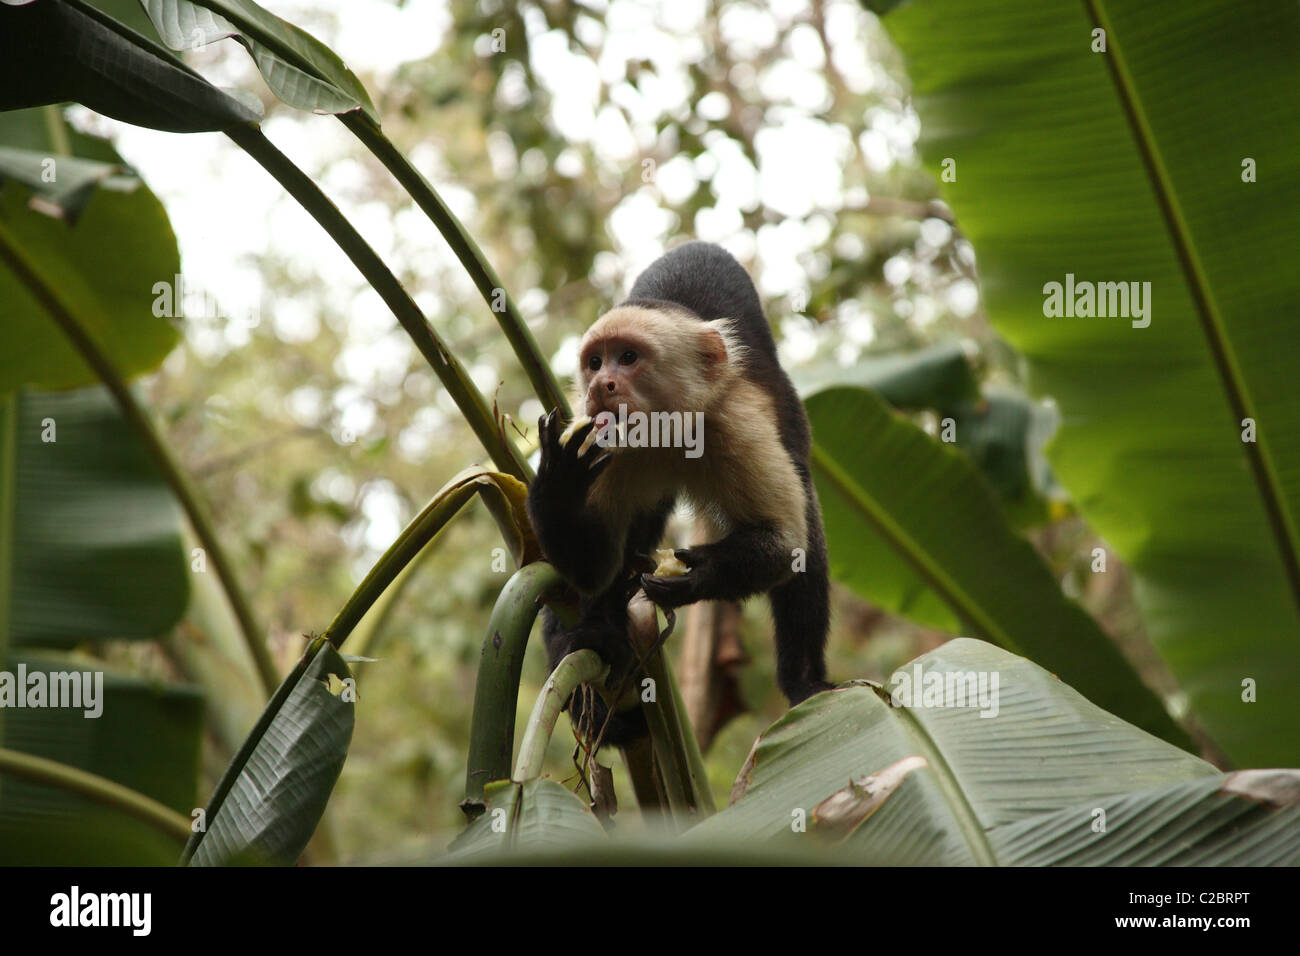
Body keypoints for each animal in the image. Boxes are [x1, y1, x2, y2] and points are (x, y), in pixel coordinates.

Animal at [527, 241, 832, 746]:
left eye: (628, 357)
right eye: (596, 362)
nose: (600, 385)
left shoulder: (734, 420)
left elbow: (785, 544)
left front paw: (700, 573)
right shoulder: (599, 442)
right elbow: (593, 569)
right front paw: (559, 482)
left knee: (806, 524)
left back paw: (805, 682)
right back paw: (596, 644)